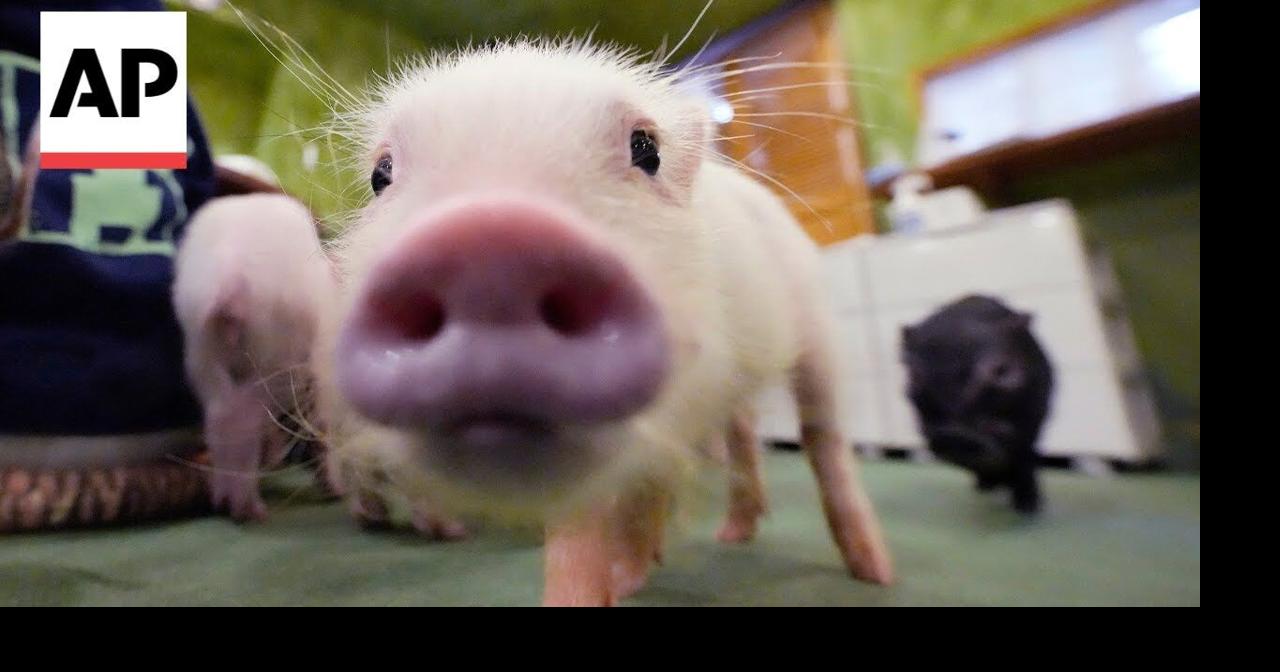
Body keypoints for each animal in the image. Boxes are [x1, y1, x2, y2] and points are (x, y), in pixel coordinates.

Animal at [173, 193, 339, 521]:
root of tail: (229, 276)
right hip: (274, 358)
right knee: (245, 420)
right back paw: (250, 510)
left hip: (200, 347)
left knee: (220, 417)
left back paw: (223, 500)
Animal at [313, 39, 894, 605]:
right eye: (380, 175)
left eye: (647, 150)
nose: (488, 241)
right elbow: (602, 514)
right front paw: (616, 580)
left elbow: (615, 510)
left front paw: (621, 580)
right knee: (744, 432)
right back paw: (733, 535)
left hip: (816, 326)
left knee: (823, 436)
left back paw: (876, 574)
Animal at [900, 295, 1055, 514]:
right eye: (913, 376)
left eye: (1002, 371)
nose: (954, 434)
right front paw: (987, 485)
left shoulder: (1034, 420)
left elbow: (1024, 459)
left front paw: (1028, 508)